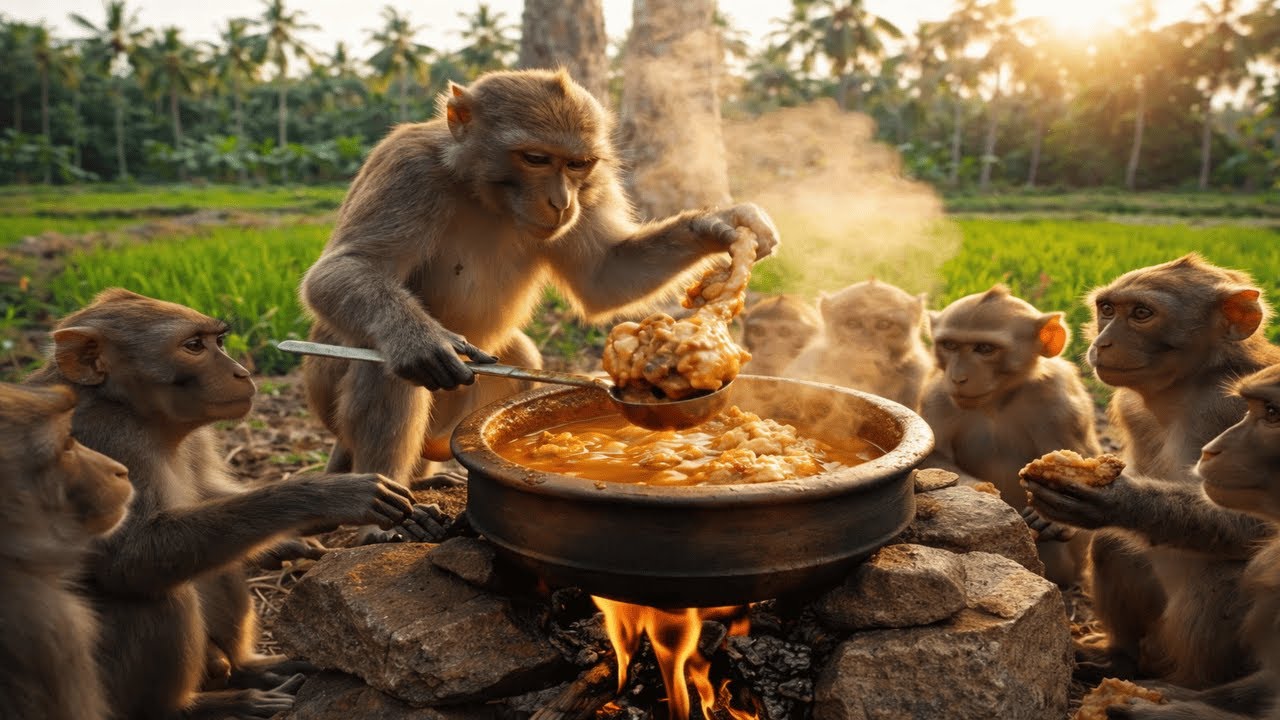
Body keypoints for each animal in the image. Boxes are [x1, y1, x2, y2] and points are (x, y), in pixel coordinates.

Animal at [26, 288, 425, 719]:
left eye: (218, 341)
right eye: (193, 346)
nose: (241, 373)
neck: (131, 409)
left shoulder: (192, 435)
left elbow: (206, 494)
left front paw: (290, 539)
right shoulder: (107, 440)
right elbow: (132, 558)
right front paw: (327, 495)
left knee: (216, 559)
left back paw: (249, 668)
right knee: (157, 593)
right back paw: (191, 707)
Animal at [299, 69, 780, 517]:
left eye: (577, 164)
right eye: (535, 158)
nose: (562, 203)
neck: (477, 189)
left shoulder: (593, 188)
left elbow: (606, 275)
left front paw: (723, 225)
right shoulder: (407, 169)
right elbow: (343, 269)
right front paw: (421, 341)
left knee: (518, 355)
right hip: (327, 388)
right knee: (386, 364)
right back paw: (387, 506)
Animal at [918, 284, 1099, 589]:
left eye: (985, 349)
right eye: (950, 345)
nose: (959, 377)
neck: (997, 399)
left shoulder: (1058, 398)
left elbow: (1079, 461)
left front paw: (1057, 517)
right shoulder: (938, 394)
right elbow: (932, 456)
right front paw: (981, 490)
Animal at [1103, 363, 1280, 719]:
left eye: (1271, 414)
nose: (1212, 450)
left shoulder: (1216, 410)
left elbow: (1248, 525)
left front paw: (1118, 500)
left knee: (1220, 577)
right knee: (1113, 545)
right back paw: (1123, 658)